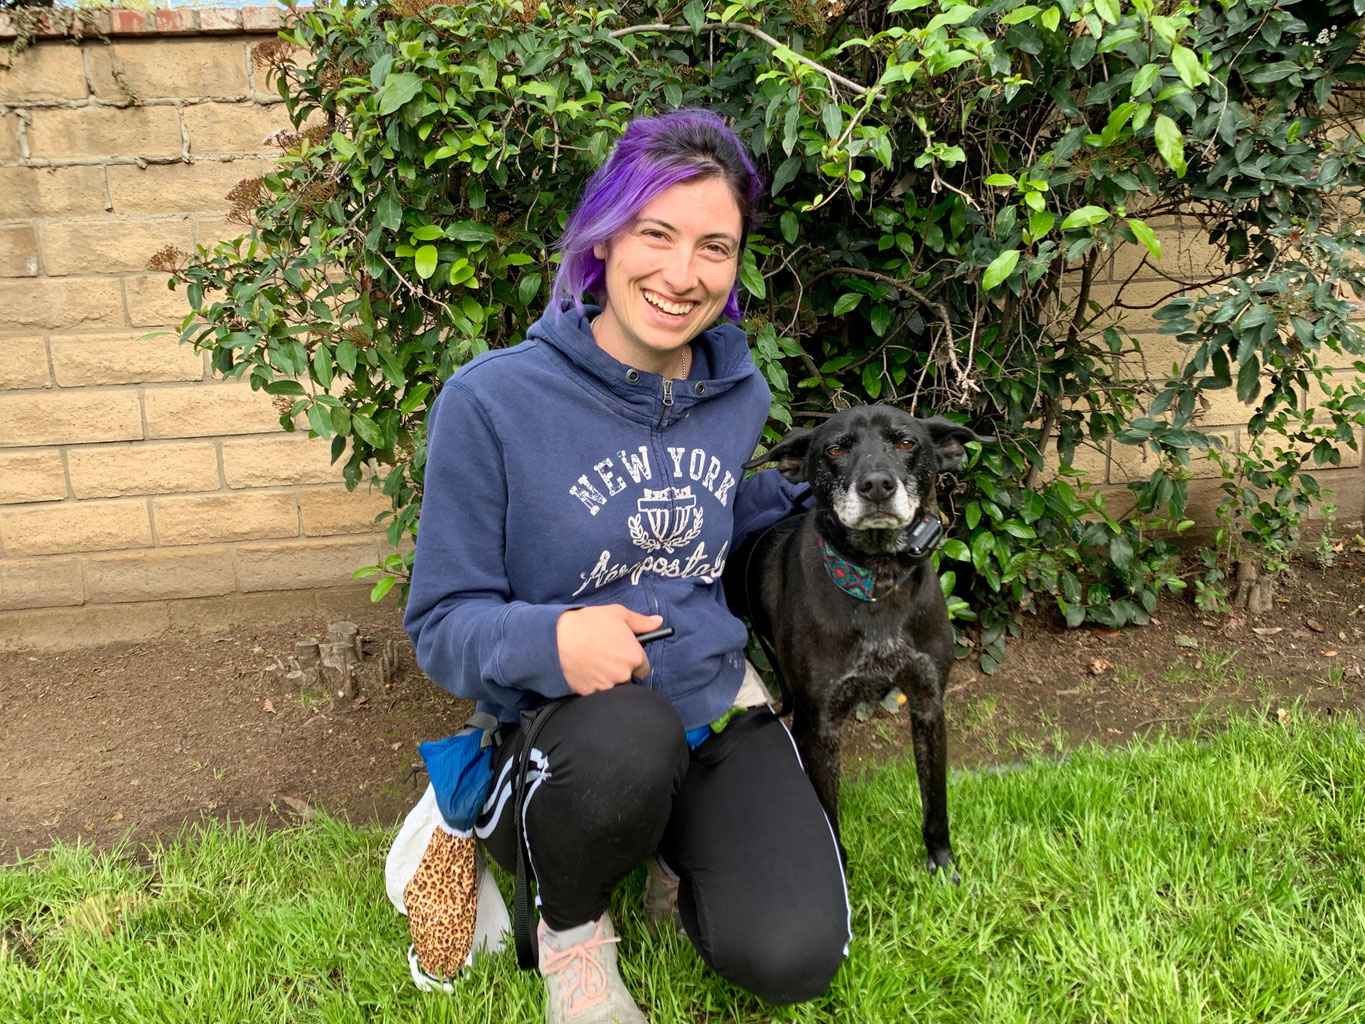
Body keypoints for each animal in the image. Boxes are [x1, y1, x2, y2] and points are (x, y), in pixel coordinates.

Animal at [726, 406, 992, 880]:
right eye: (835, 449)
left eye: (906, 442)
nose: (877, 486)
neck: (877, 577)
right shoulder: (821, 724)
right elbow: (827, 814)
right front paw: (840, 872)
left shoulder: (928, 702)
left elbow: (936, 801)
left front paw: (942, 864)